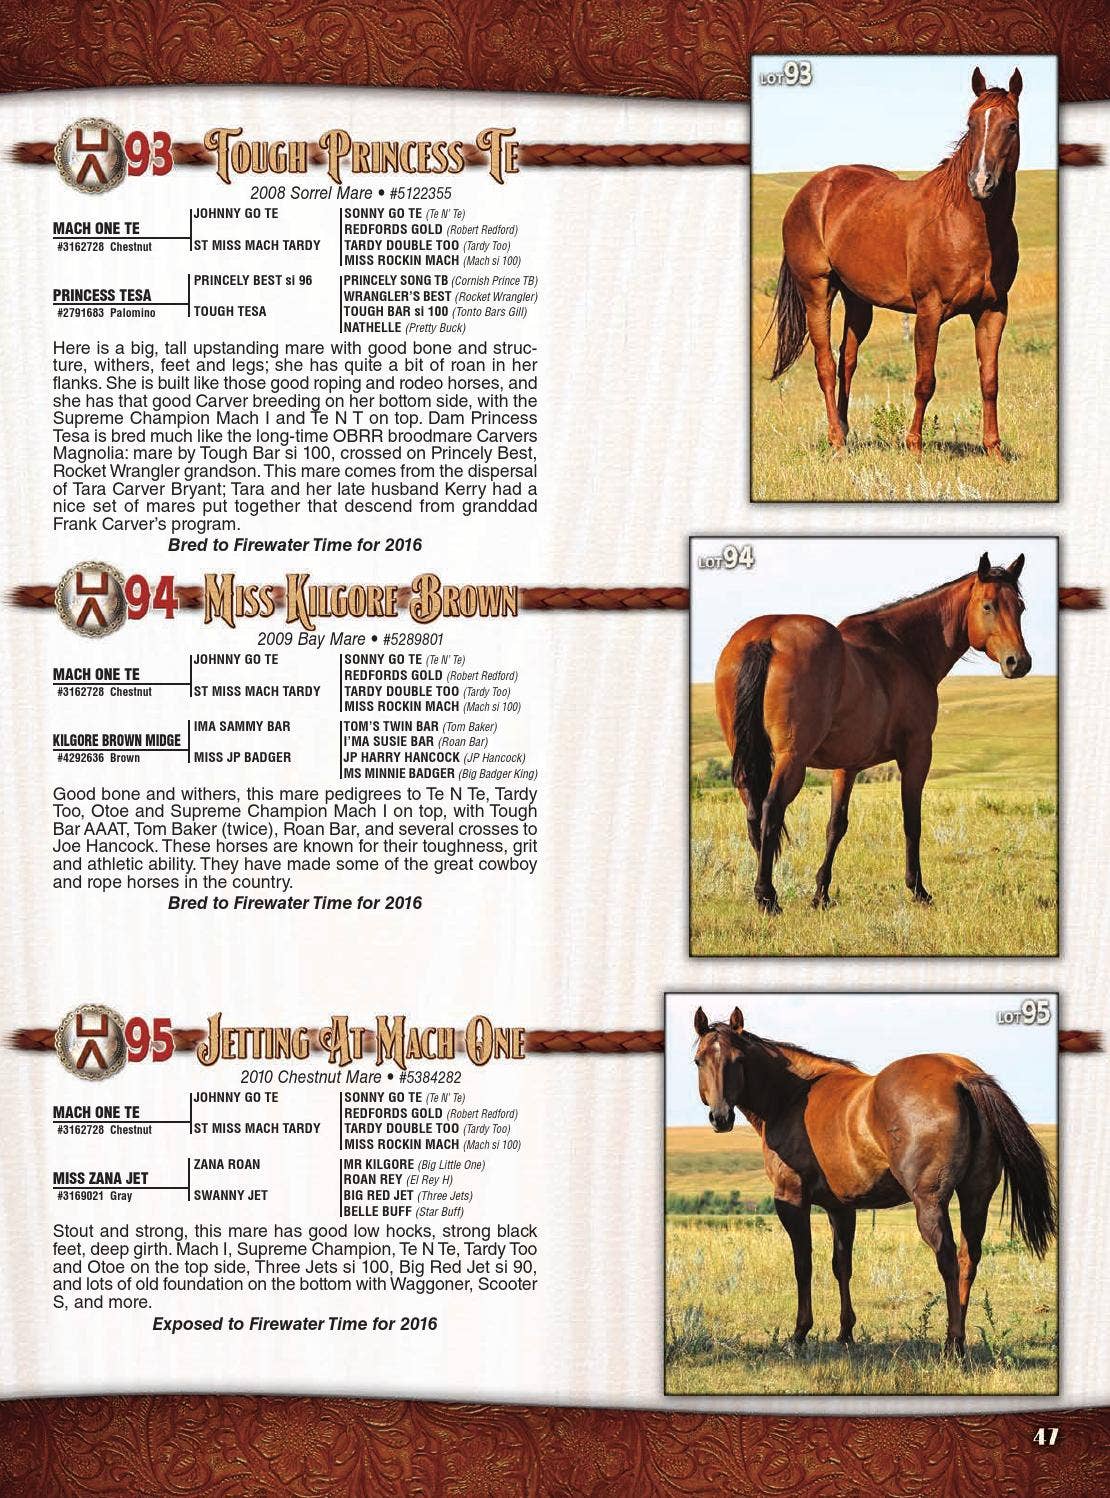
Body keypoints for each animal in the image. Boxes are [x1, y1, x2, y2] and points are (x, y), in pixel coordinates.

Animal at [692, 1006, 1056, 1359]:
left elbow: (803, 1265)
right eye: (699, 1060)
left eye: (739, 1060)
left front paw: (799, 1335)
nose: (720, 1117)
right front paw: (845, 1333)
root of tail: (959, 1074)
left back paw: (952, 1345)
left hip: (930, 1203)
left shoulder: (791, 1200)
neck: (792, 1096)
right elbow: (842, 1265)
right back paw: (959, 1340)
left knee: (948, 1260)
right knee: (969, 1259)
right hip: (975, 1197)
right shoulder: (841, 1208)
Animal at [769, 66, 1023, 458]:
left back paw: (846, 431)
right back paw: (836, 441)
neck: (967, 224)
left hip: (858, 301)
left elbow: (989, 380)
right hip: (817, 291)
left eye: (1011, 125)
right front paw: (915, 447)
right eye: (971, 123)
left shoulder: (993, 310)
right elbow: (924, 381)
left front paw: (994, 451)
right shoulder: (929, 310)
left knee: (847, 363)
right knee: (825, 365)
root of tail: (810, 192)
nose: (981, 182)